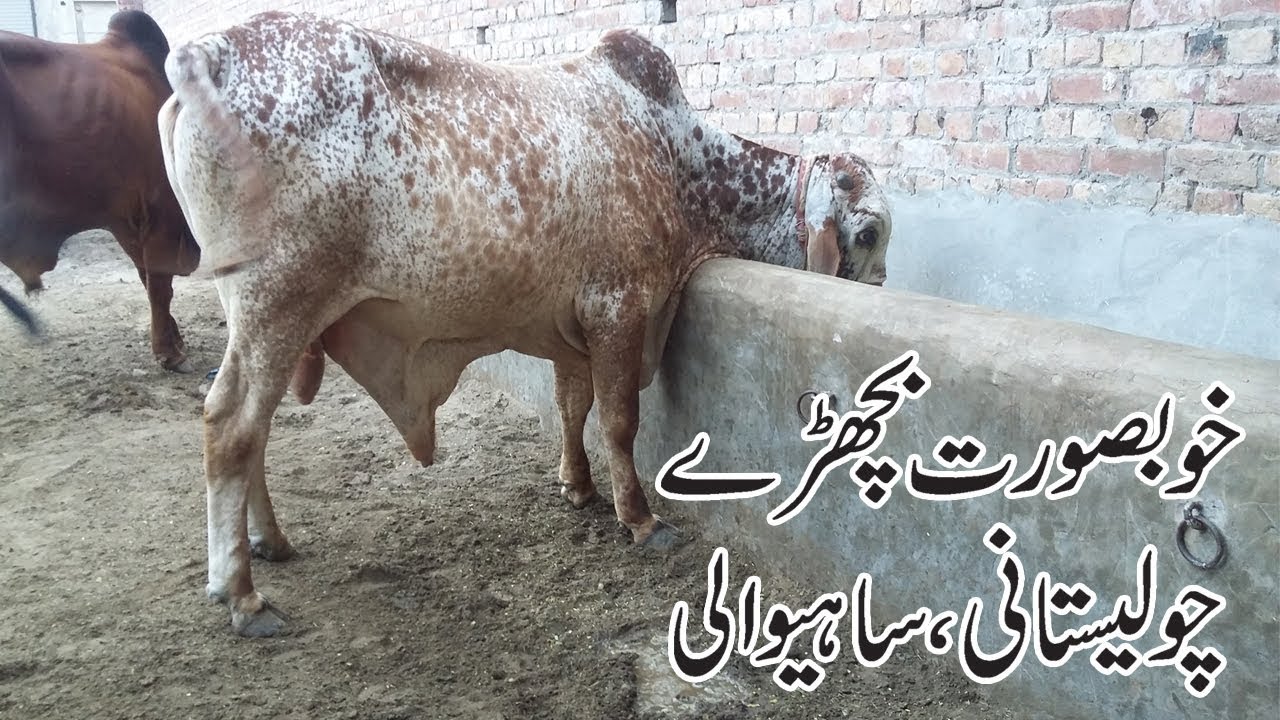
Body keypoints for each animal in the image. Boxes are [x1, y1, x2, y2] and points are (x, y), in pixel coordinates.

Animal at [158, 12, 891, 636]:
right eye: (869, 232)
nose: (883, 288)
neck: (674, 157)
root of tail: (212, 49)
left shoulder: (570, 328)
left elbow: (574, 407)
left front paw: (577, 485)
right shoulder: (618, 309)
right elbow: (619, 419)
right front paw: (639, 518)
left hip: (254, 314)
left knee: (254, 429)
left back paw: (269, 542)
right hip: (277, 302)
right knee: (230, 423)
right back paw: (242, 594)